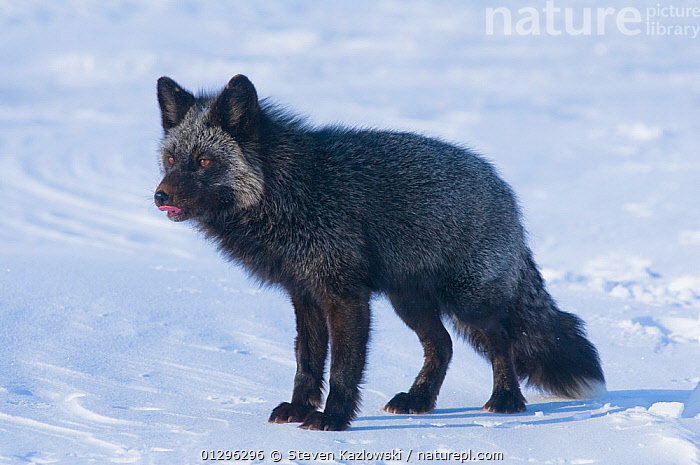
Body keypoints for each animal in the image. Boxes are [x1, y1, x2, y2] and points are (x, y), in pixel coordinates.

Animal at [154, 74, 605, 431]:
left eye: (204, 161)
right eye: (172, 159)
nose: (159, 197)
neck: (290, 191)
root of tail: (505, 190)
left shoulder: (345, 296)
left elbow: (343, 369)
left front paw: (334, 419)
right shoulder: (305, 296)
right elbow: (307, 363)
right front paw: (300, 410)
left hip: (467, 302)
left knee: (502, 337)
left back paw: (507, 400)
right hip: (409, 301)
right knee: (443, 344)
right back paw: (419, 400)